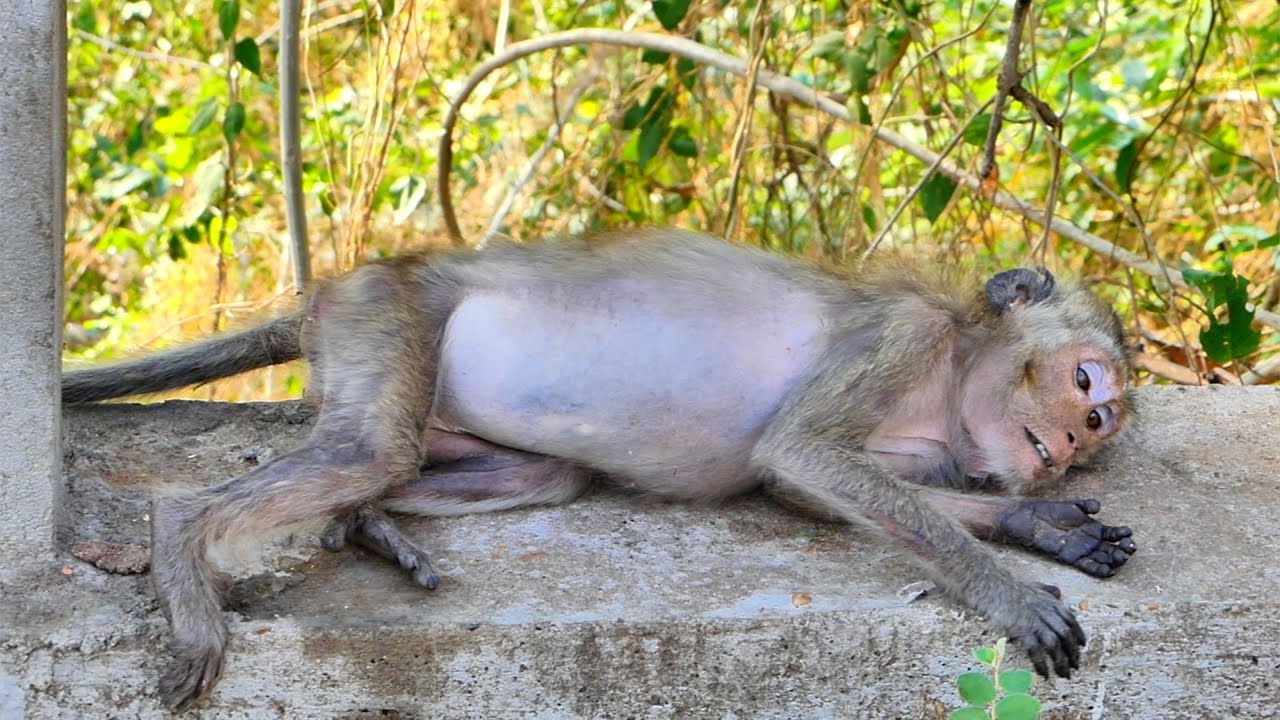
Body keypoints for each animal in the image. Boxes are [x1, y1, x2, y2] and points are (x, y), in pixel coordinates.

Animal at [62, 228, 1137, 711]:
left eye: (1102, 420)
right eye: (1086, 382)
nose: (1077, 435)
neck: (952, 373)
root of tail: (342, 290)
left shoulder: (926, 444)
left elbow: (803, 487)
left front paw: (1041, 527)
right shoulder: (901, 338)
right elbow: (797, 458)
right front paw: (1009, 590)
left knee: (527, 477)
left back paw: (368, 524)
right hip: (388, 312)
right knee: (370, 448)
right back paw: (181, 544)